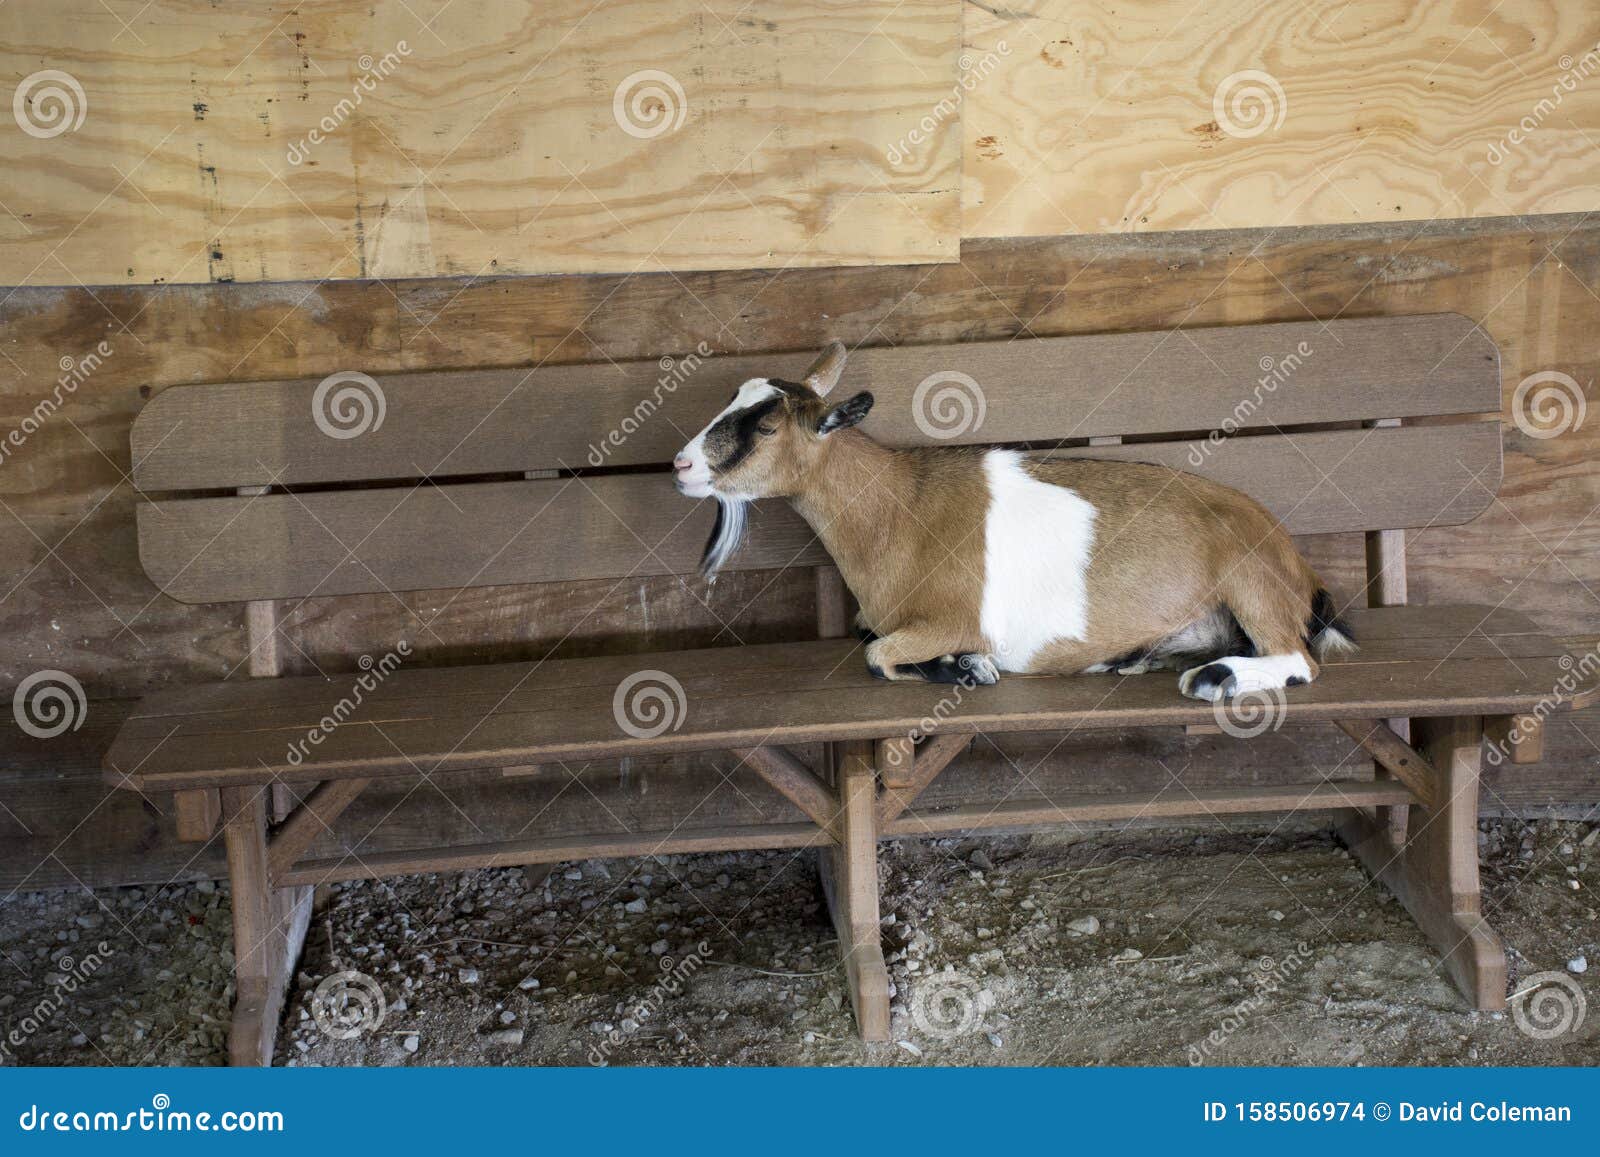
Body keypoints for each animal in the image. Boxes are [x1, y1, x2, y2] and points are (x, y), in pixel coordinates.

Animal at [672, 342, 1355, 700]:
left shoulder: (953, 618)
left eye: (765, 426)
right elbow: (871, 642)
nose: (681, 465)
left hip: (1252, 581)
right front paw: (964, 666)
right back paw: (1137, 659)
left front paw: (968, 667)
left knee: (1298, 660)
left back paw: (1214, 677)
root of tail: (1298, 564)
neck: (897, 507)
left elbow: (879, 654)